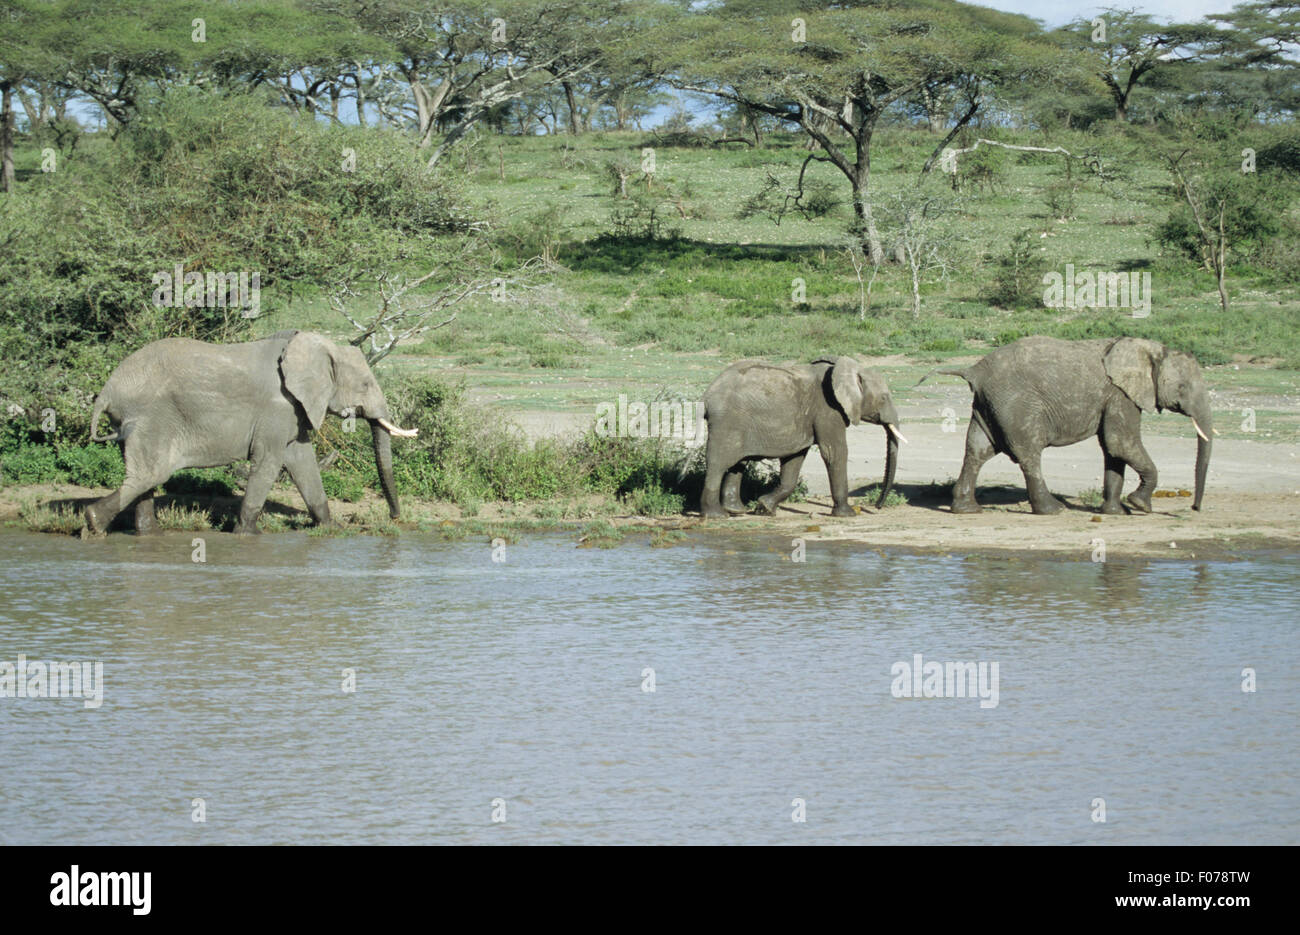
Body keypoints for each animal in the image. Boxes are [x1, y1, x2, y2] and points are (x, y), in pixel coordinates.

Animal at [83, 329, 417, 535]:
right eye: (366, 384)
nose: (395, 518)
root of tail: (106, 392)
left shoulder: (293, 411)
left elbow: (302, 461)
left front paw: (331, 530)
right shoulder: (276, 408)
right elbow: (269, 461)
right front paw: (248, 533)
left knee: (146, 478)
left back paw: (149, 534)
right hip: (152, 419)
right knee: (149, 475)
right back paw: (93, 523)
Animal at [700, 356, 906, 519]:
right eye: (884, 398)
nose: (877, 506)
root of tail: (708, 394)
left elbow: (794, 459)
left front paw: (765, 509)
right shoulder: (828, 409)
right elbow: (834, 453)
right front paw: (847, 515)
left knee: (738, 463)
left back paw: (736, 511)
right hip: (728, 421)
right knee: (718, 464)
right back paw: (717, 515)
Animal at [928, 336, 1213, 515]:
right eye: (1182, 387)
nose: (1195, 508)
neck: (1150, 349)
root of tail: (975, 369)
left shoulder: (1114, 397)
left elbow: (1113, 450)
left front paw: (1117, 513)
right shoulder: (1120, 395)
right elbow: (1120, 443)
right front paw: (1140, 506)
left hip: (988, 404)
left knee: (977, 451)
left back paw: (967, 510)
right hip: (1016, 404)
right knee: (1028, 454)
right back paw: (1053, 510)